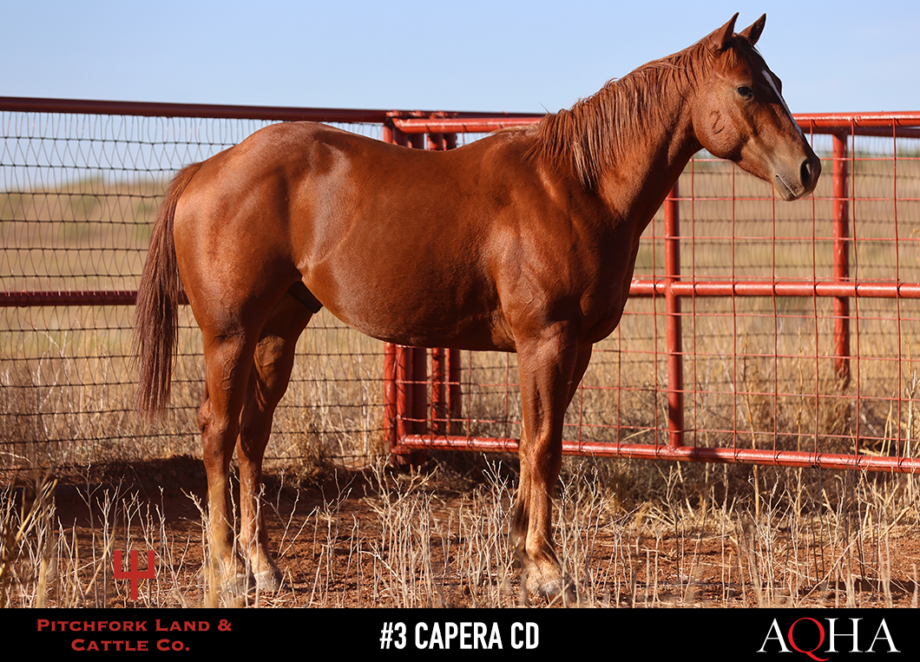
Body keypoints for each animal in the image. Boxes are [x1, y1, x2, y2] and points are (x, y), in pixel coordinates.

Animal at [135, 13, 820, 602]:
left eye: (780, 84)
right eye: (746, 88)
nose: (809, 168)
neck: (576, 186)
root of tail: (207, 169)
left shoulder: (574, 348)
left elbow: (539, 442)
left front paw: (523, 552)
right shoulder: (545, 341)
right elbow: (542, 444)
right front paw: (547, 570)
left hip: (279, 330)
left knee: (252, 433)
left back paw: (263, 566)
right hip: (229, 334)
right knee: (219, 432)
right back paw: (226, 570)